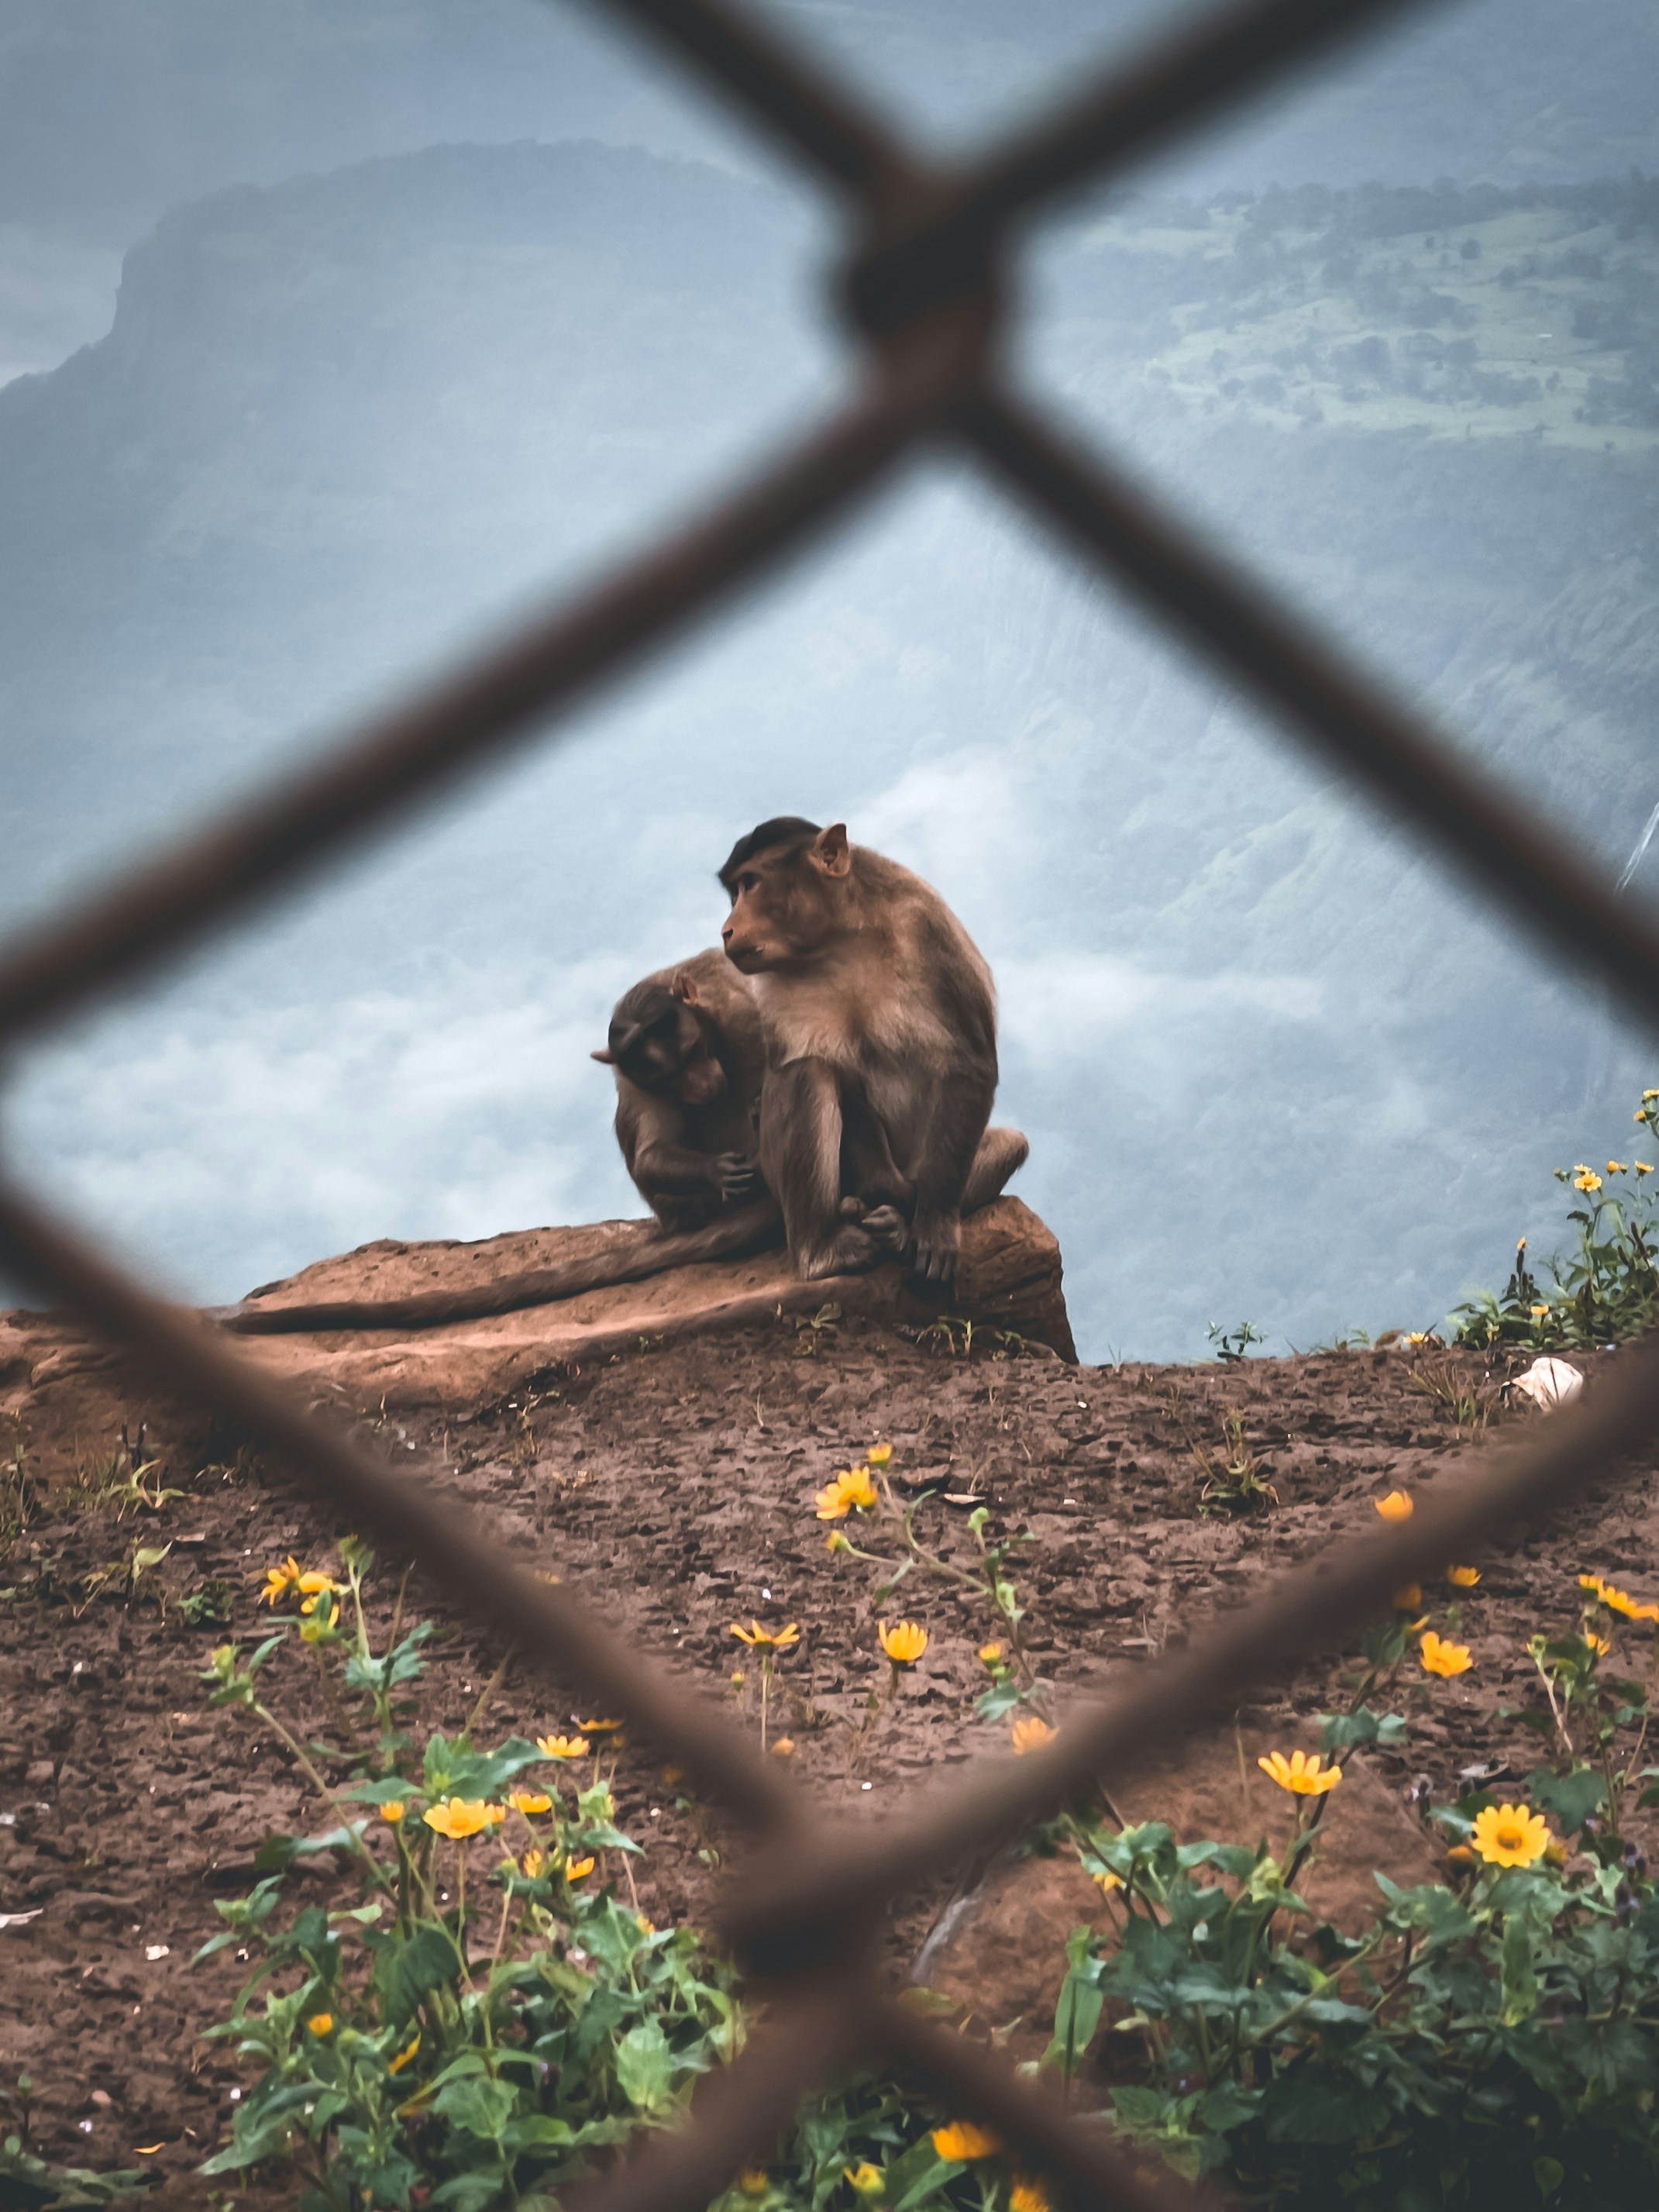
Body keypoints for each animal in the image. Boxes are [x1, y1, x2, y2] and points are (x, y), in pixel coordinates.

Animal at [719, 816, 1028, 1287]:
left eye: (750, 884)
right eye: (734, 892)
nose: (727, 929)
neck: (842, 936)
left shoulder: (927, 928)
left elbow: (967, 1065)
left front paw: (933, 1224)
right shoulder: (777, 983)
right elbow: (834, 1069)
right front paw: (889, 1203)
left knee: (1011, 1145)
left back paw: (899, 1223)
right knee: (807, 1073)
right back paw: (826, 1246)